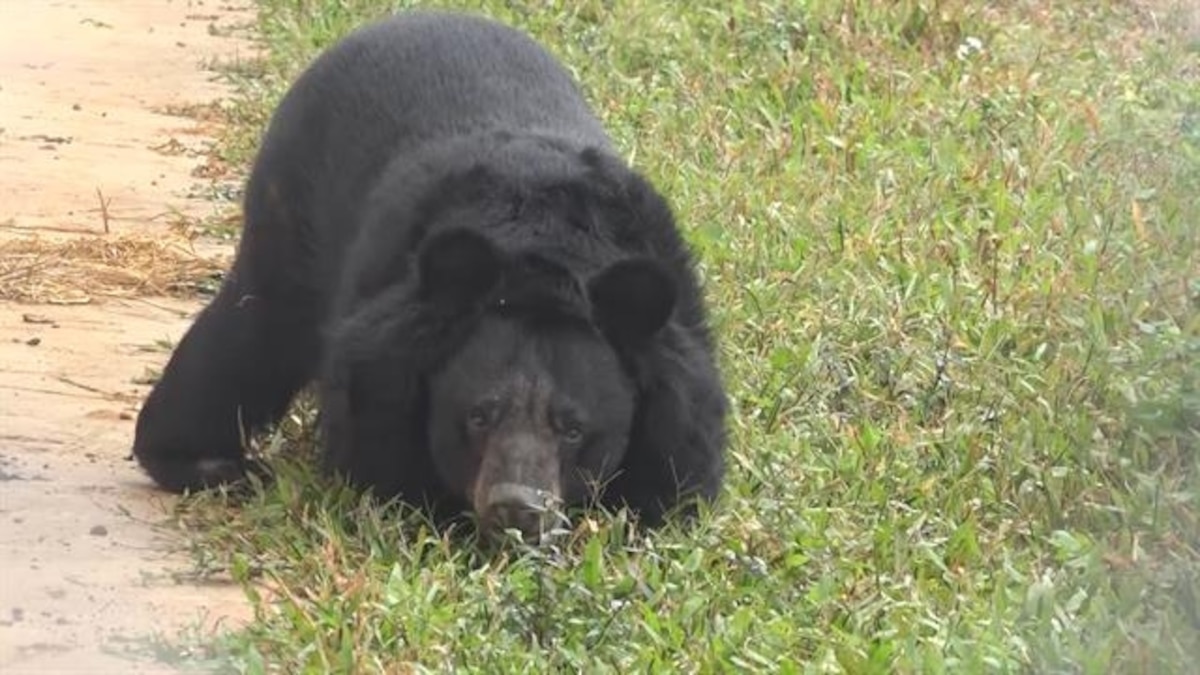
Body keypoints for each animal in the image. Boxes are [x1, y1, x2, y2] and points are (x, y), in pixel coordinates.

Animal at [130, 9, 728, 542]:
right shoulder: (383, 359)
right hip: (290, 215)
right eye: (479, 416)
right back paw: (206, 462)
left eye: (573, 428)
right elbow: (374, 451)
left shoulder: (678, 367)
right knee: (251, 334)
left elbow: (678, 470)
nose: (517, 507)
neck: (543, 261)